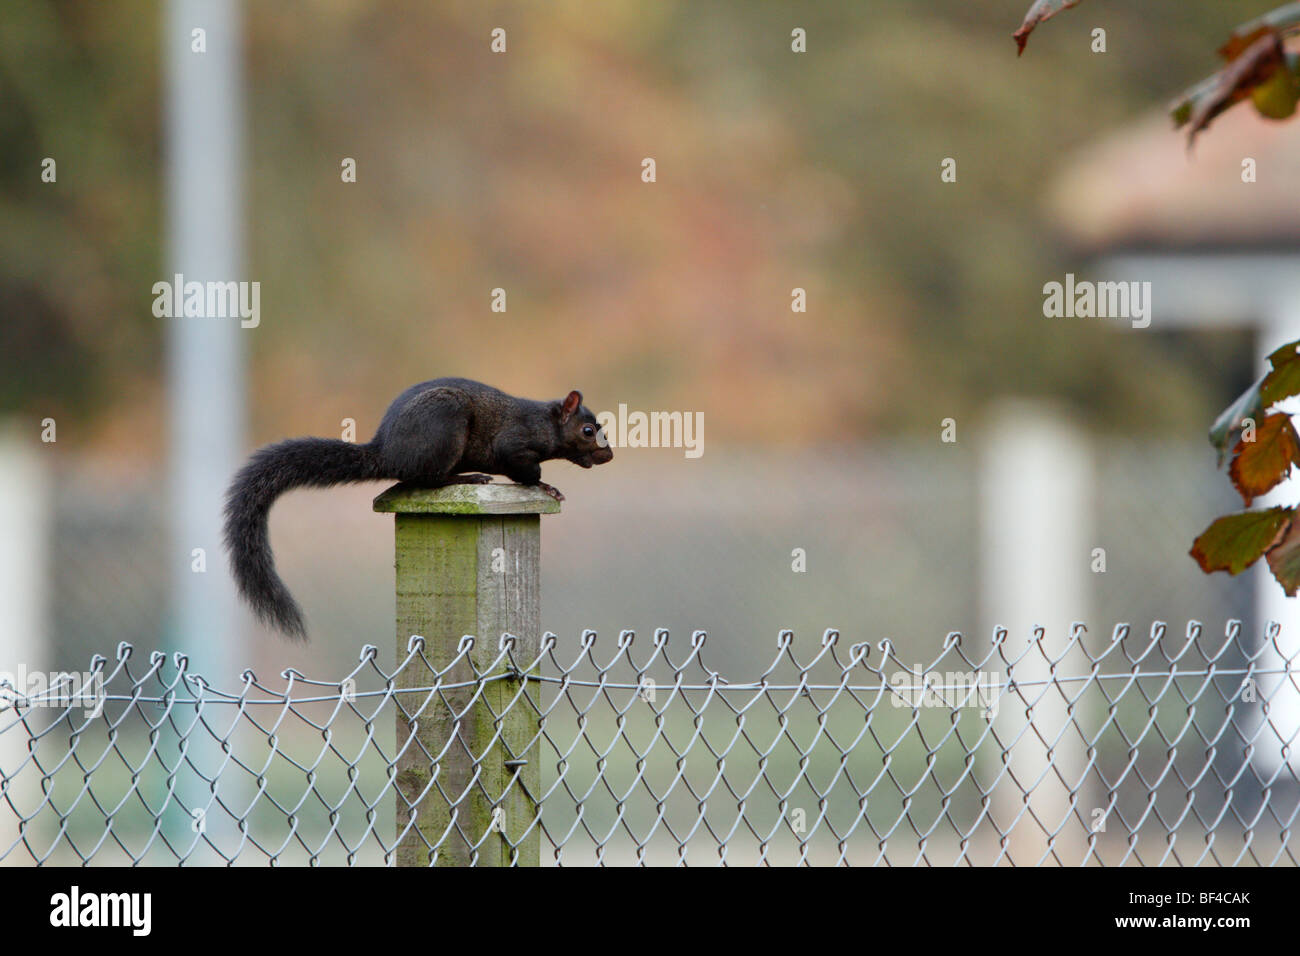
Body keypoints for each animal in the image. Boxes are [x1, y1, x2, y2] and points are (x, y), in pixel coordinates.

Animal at [223, 377, 613, 640]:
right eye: (588, 430)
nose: (608, 455)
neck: (545, 421)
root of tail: (386, 452)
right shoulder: (513, 445)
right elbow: (526, 470)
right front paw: (546, 486)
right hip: (444, 425)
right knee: (425, 479)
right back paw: (468, 476)